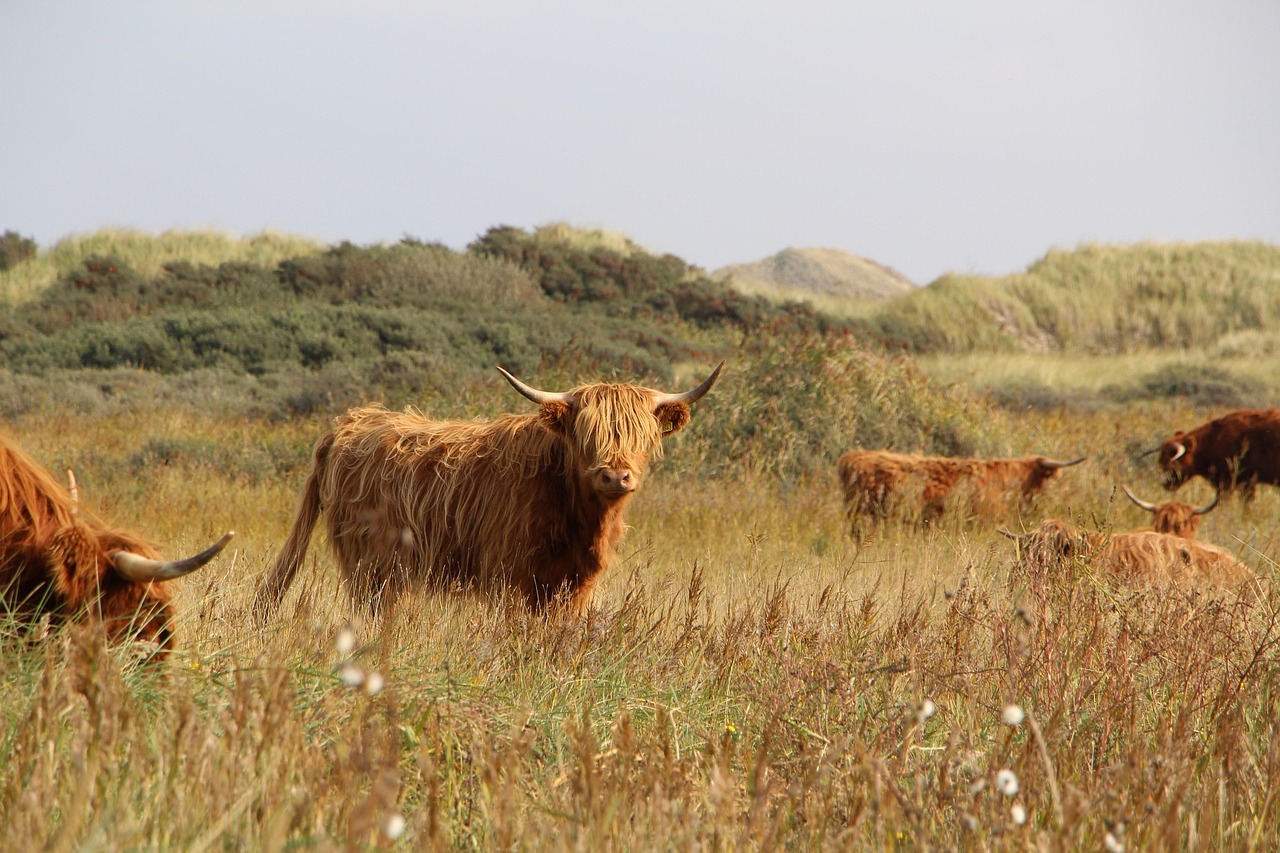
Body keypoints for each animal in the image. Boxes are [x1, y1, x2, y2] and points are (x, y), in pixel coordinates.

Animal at [253, 363, 723, 618]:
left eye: (642, 435)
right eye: (587, 435)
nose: (615, 476)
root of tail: (349, 423)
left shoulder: (575, 584)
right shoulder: (509, 576)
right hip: (372, 565)